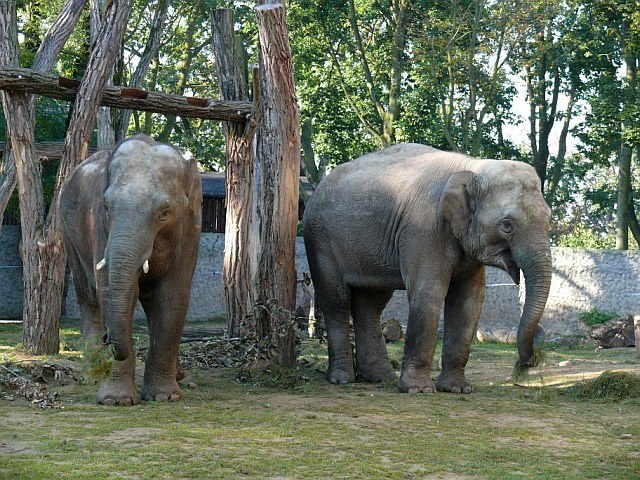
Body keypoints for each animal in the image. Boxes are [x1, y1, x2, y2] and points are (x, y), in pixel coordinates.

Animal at [59, 135, 202, 405]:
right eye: (106, 206)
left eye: (165, 213)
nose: (109, 341)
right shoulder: (100, 227)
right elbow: (107, 292)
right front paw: (116, 401)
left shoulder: (190, 228)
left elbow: (172, 296)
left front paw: (164, 397)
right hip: (70, 236)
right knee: (88, 296)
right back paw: (93, 373)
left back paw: (177, 376)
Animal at [302, 143, 552, 394]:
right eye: (506, 225)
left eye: (550, 219)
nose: (531, 361)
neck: (472, 167)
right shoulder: (423, 230)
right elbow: (428, 292)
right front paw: (418, 390)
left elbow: (469, 301)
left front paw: (458, 389)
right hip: (319, 239)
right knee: (337, 301)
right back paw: (342, 379)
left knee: (370, 304)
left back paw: (381, 378)